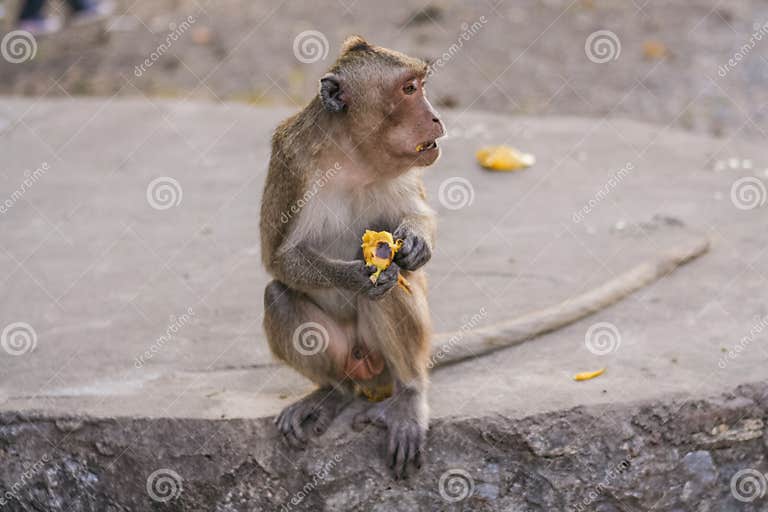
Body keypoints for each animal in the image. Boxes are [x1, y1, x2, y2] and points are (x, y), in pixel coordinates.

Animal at [260, 35, 444, 478]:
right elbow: (278, 258)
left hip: (391, 357)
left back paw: (409, 396)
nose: (435, 117)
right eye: (409, 89)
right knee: (277, 295)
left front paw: (416, 243)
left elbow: (419, 219)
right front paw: (358, 277)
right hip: (347, 355)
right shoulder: (292, 164)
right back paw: (333, 394)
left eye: (419, 85)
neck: (354, 156)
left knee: (391, 291)